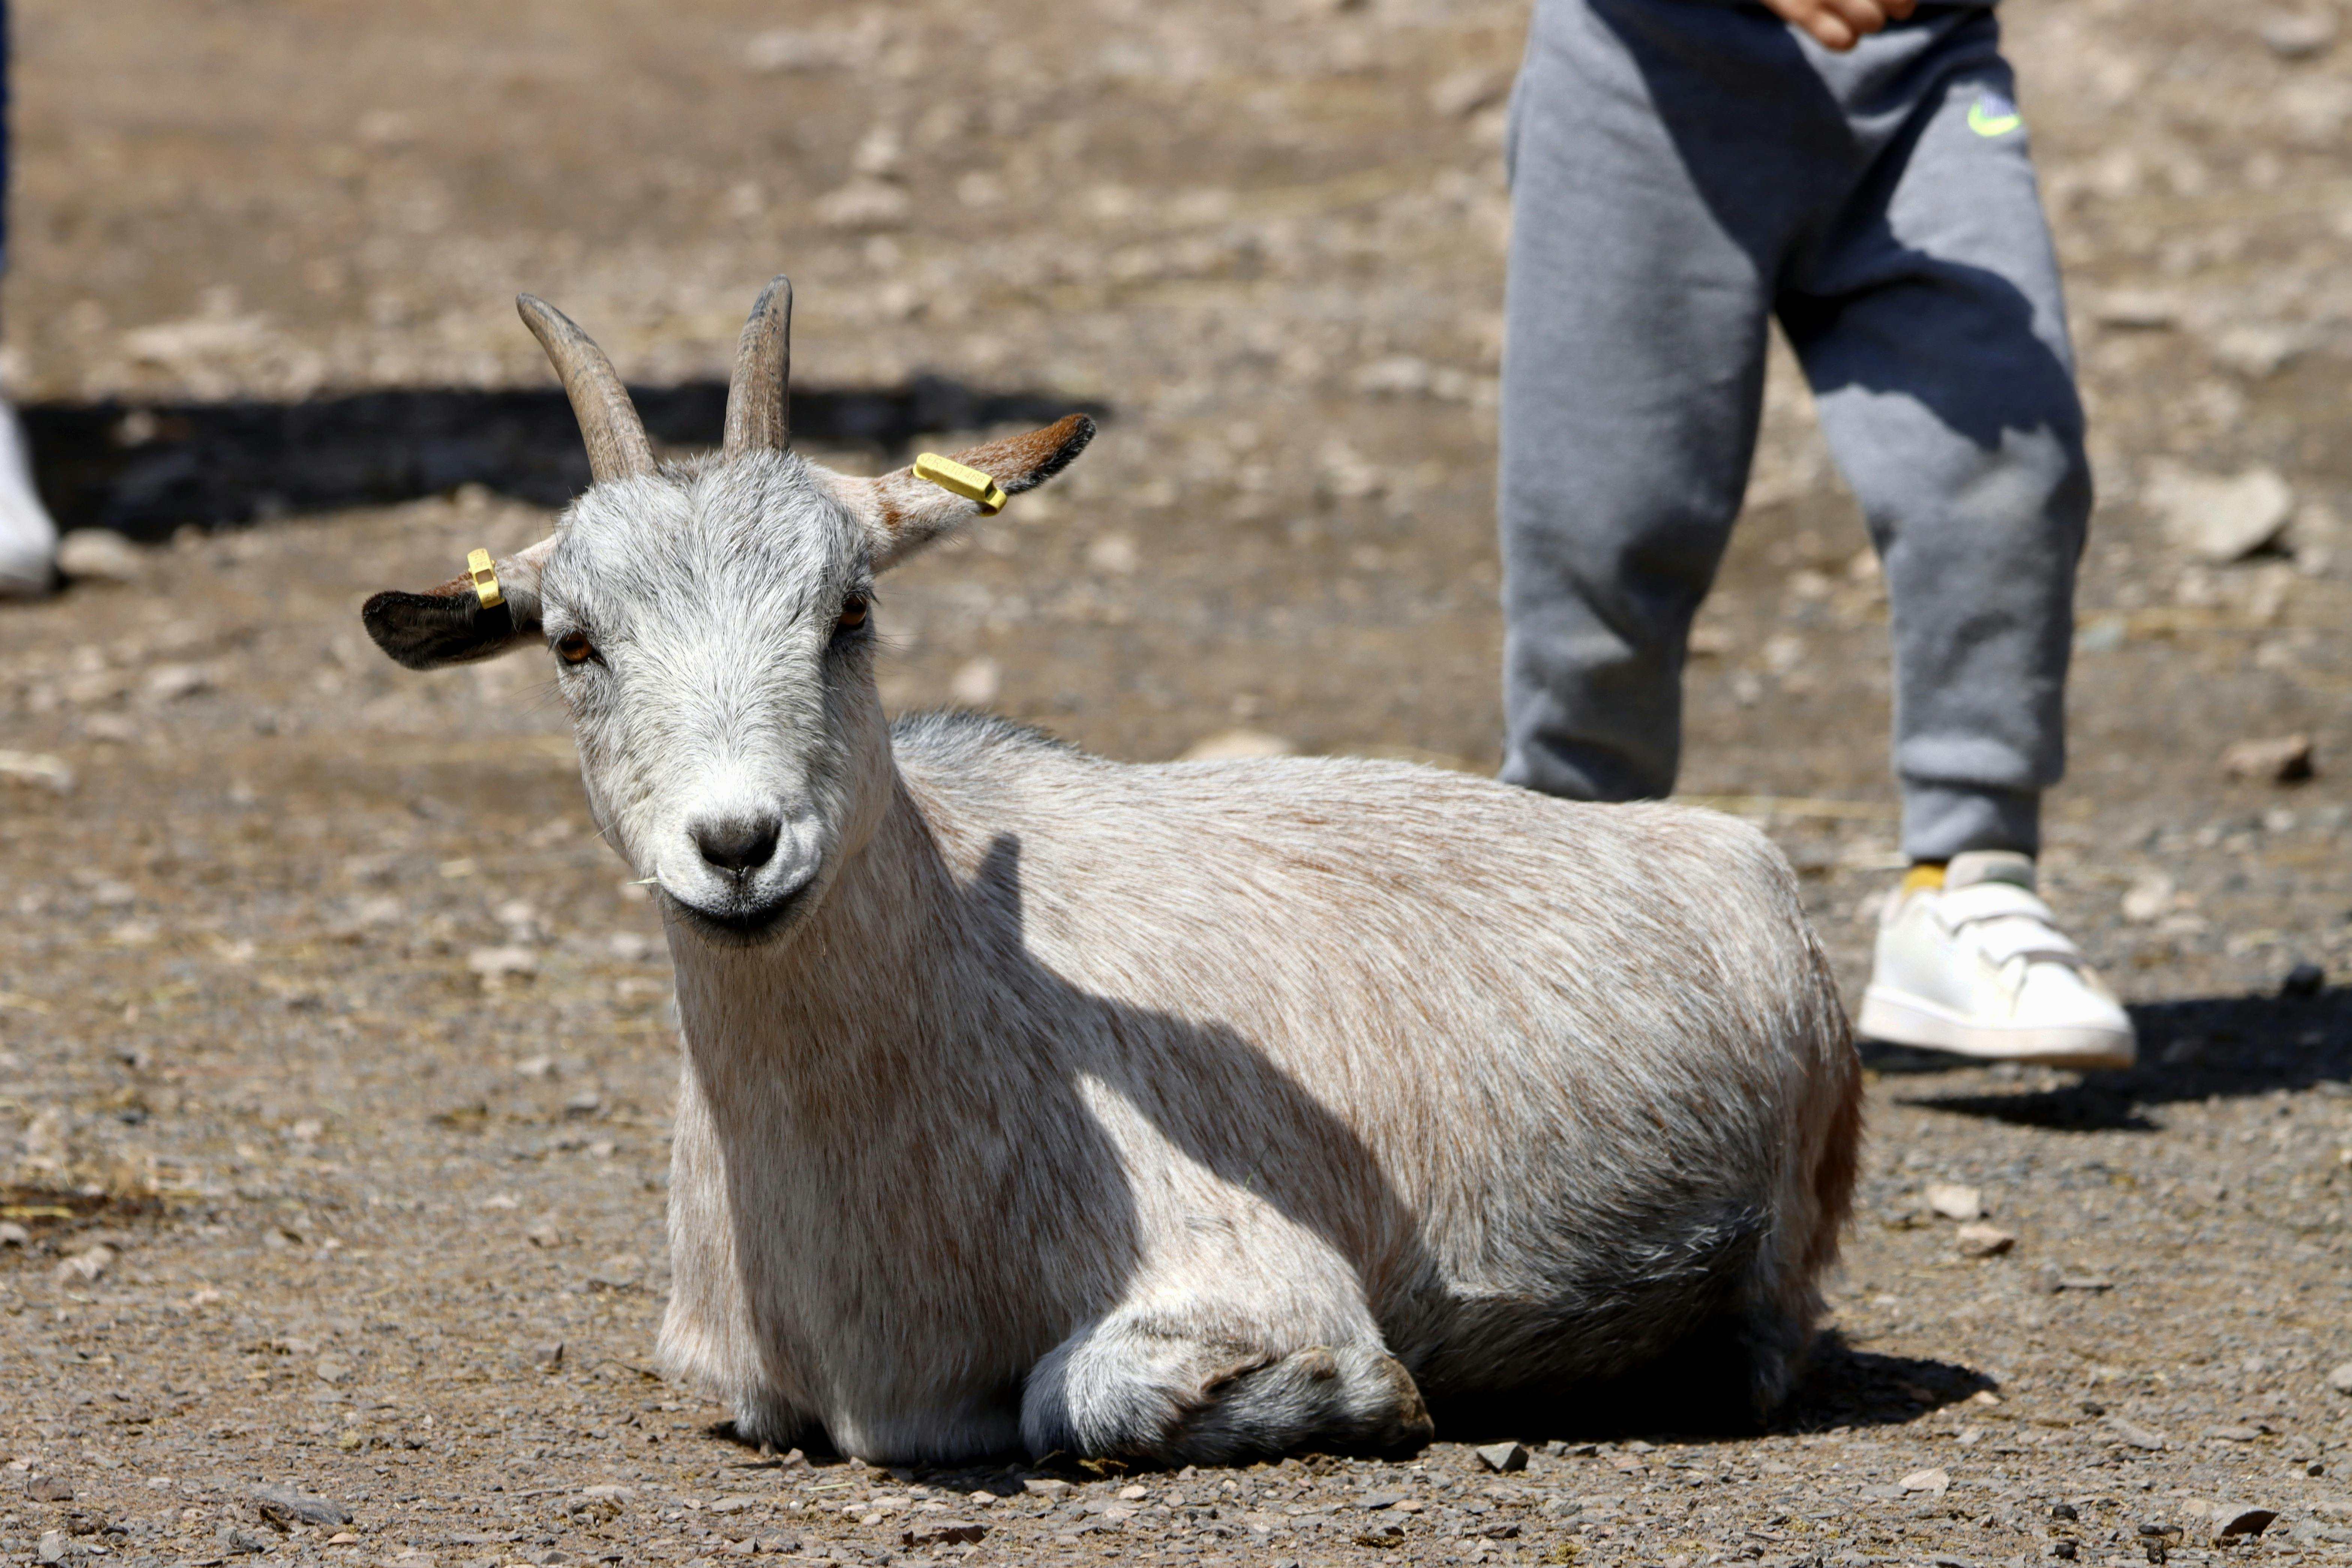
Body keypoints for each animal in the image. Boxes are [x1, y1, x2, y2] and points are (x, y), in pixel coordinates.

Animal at [362, 278, 1862, 1466]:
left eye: (851, 608)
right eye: (573, 644)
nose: (738, 845)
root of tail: (1731, 851)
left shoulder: (1255, 1270)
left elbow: (1073, 1397)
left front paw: (1370, 1395)